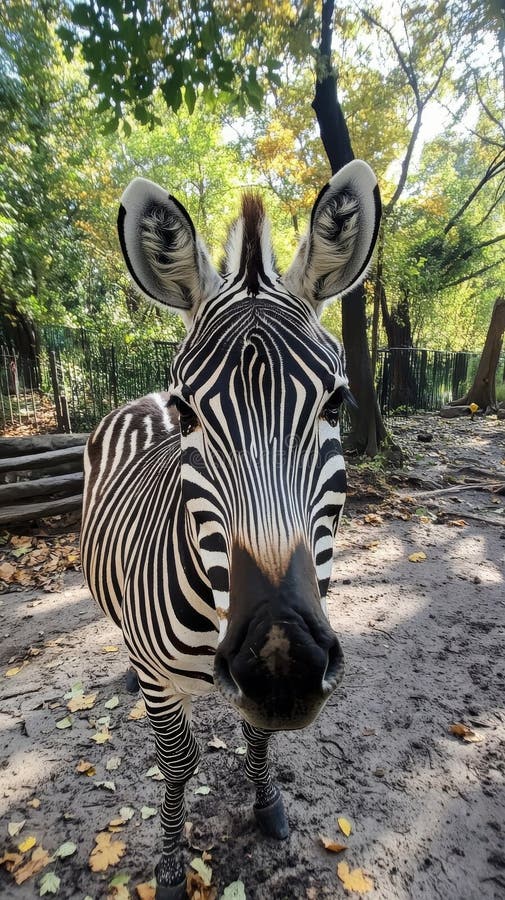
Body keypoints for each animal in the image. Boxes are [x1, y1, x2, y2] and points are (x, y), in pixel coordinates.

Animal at [81, 159, 381, 899]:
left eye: (338, 403)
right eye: (189, 415)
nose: (282, 667)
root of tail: (137, 403)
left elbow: (257, 737)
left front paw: (266, 802)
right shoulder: (165, 689)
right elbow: (177, 764)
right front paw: (167, 862)